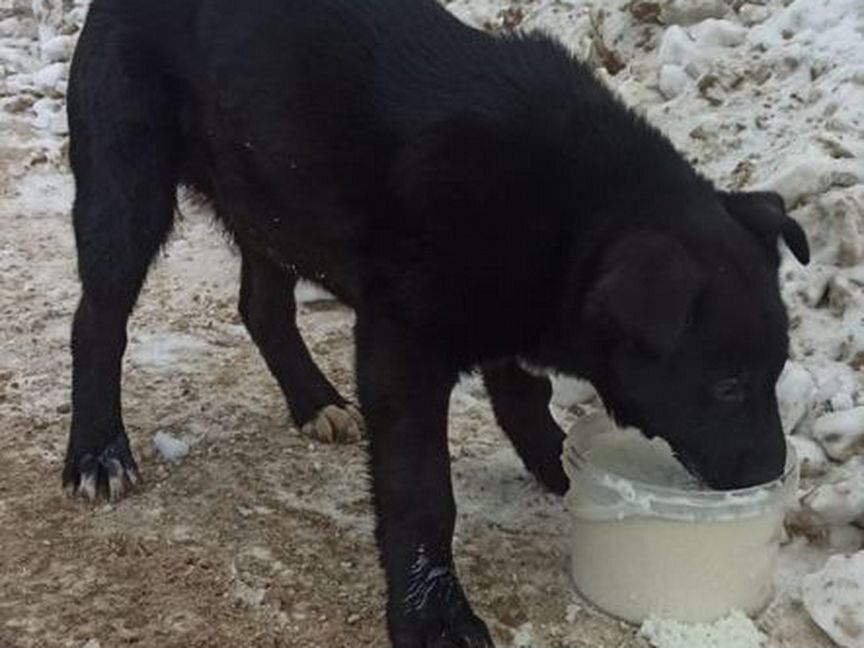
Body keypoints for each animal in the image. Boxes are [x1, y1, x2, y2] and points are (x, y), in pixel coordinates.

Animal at [66, 2, 808, 644]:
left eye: (774, 373)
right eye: (728, 387)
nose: (771, 472)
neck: (571, 209)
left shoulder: (515, 312)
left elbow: (522, 397)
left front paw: (563, 468)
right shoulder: (402, 350)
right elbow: (423, 493)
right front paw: (431, 614)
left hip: (266, 195)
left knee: (261, 306)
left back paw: (312, 400)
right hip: (129, 186)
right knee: (99, 321)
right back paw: (98, 451)